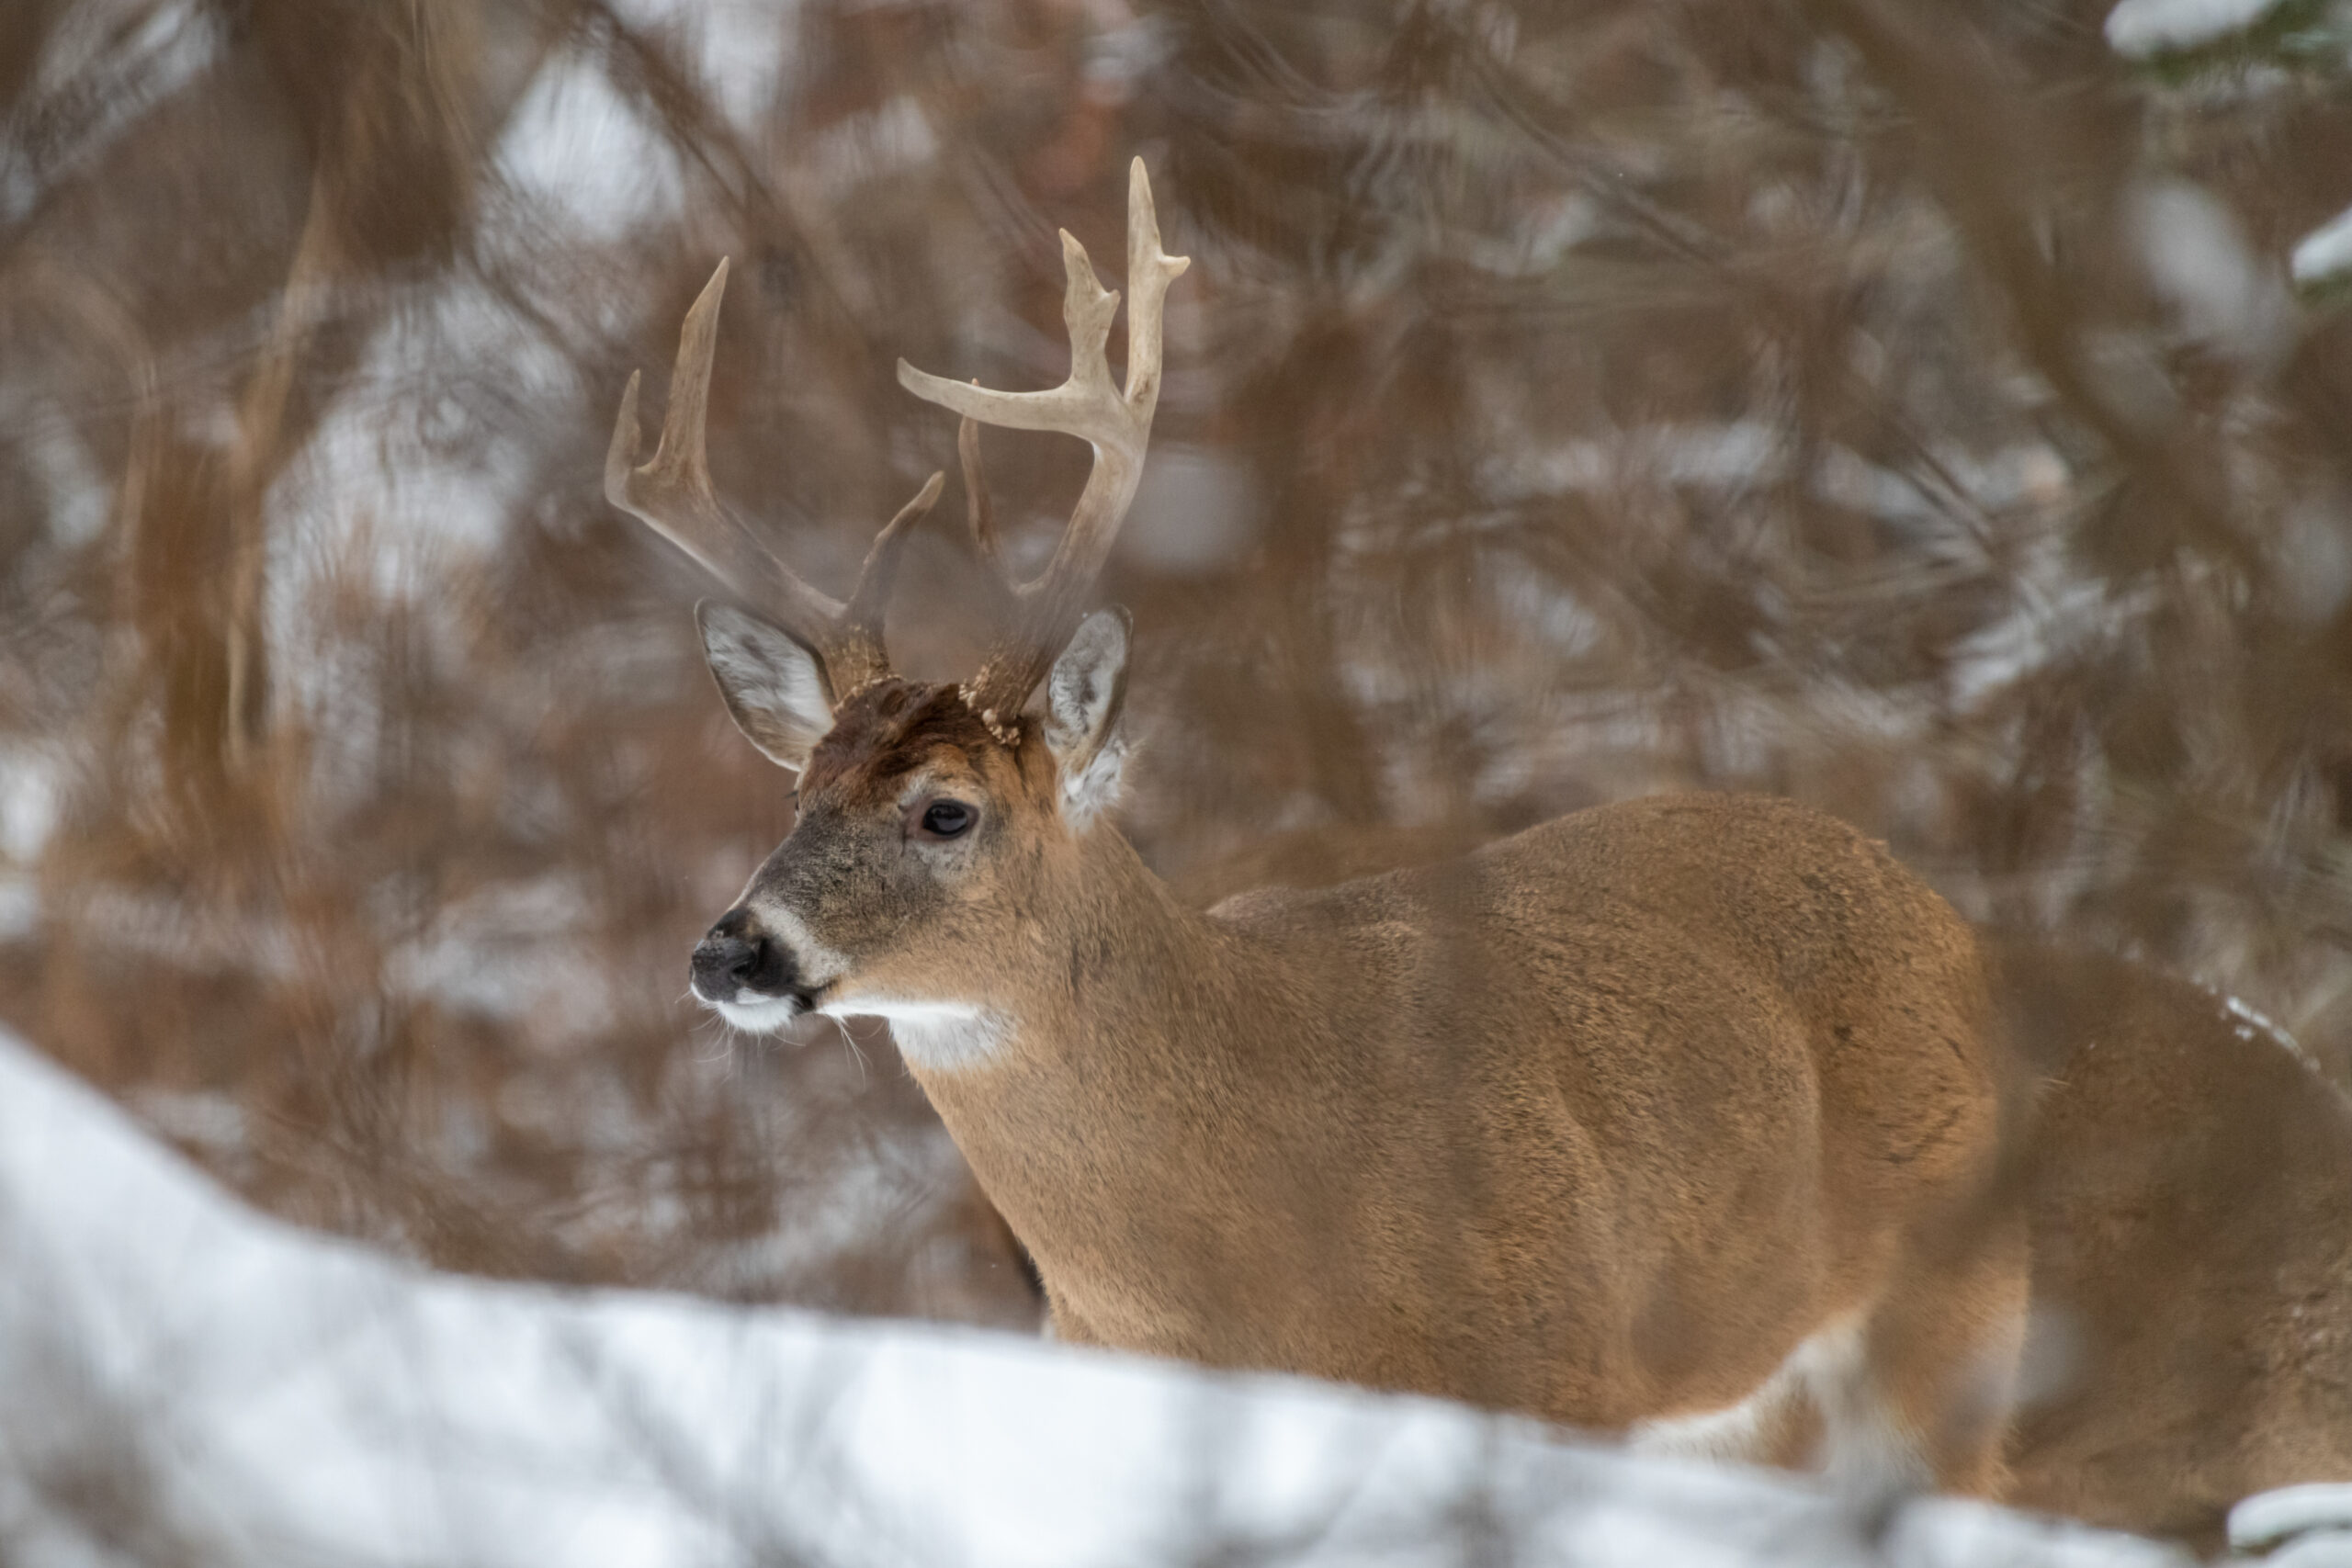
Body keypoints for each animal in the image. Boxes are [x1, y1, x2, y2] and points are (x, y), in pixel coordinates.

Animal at [604, 159, 2032, 1497]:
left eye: (946, 809)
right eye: (801, 795)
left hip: (1948, 1304)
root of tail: (1942, 912)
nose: (730, 950)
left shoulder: (1559, 1367)